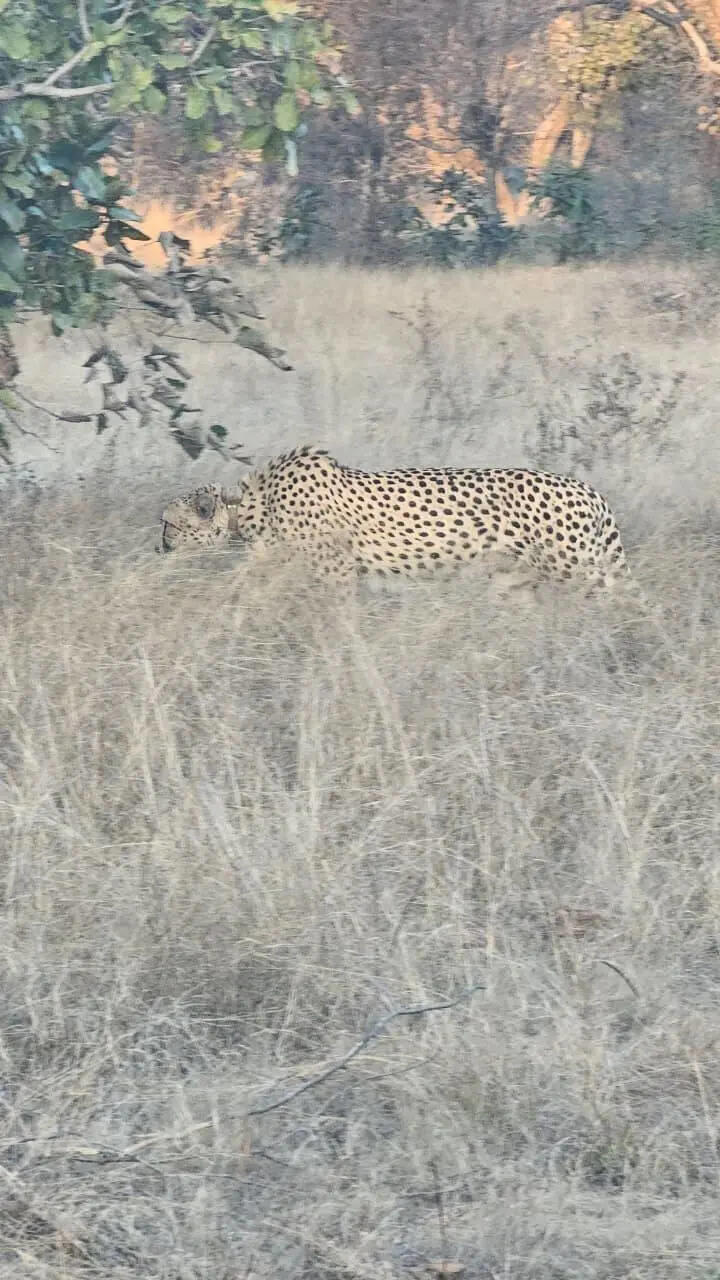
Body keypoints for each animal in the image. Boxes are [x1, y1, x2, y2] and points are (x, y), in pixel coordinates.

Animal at [159, 444, 639, 596]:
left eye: (168, 523)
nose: (159, 546)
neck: (252, 505)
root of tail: (589, 489)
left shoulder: (336, 575)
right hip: (513, 581)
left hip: (575, 571)